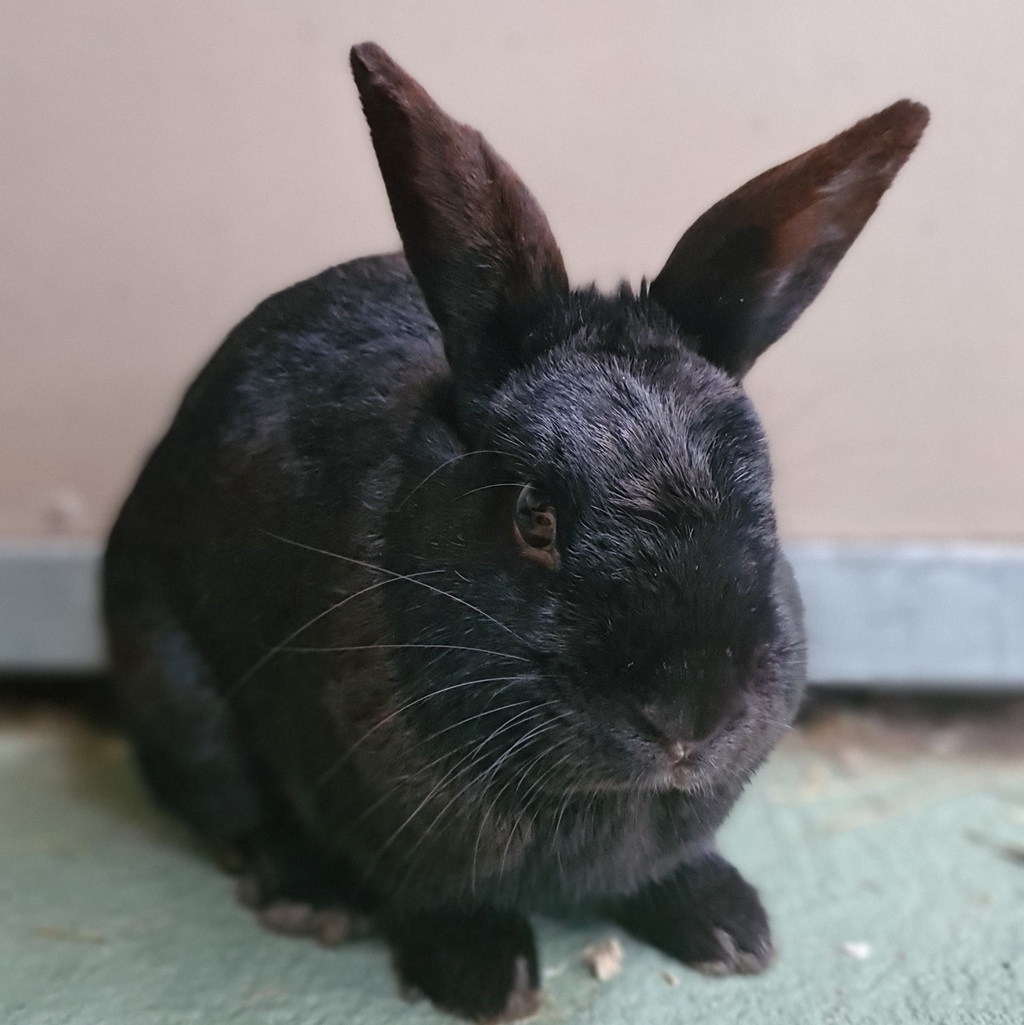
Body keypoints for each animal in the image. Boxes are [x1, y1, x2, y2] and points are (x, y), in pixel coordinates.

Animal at [103, 41, 927, 1023]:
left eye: (764, 499)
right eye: (534, 516)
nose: (687, 721)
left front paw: (732, 932)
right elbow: (430, 895)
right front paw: (488, 978)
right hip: (175, 684)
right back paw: (307, 894)